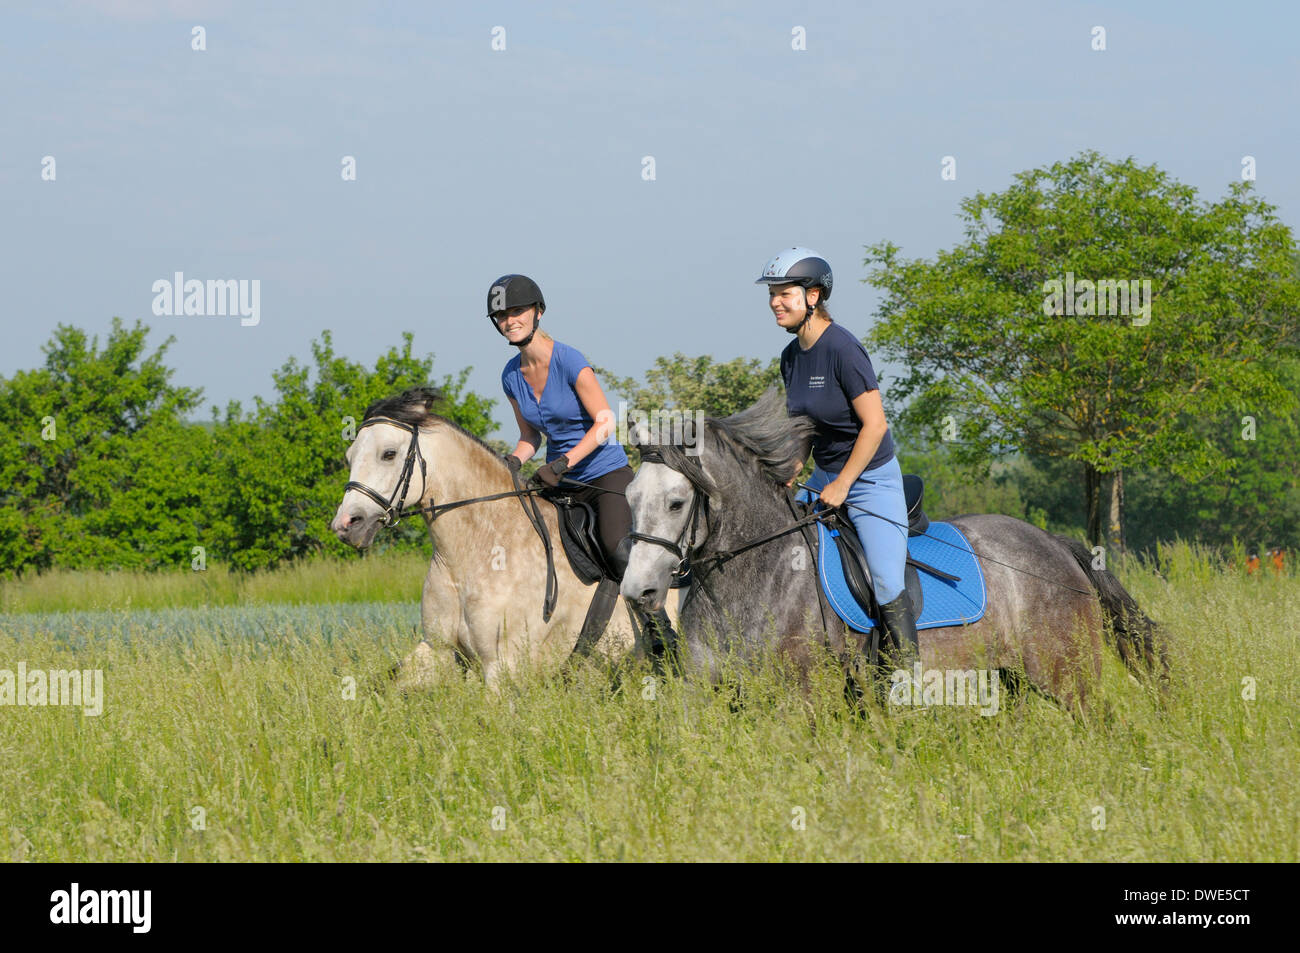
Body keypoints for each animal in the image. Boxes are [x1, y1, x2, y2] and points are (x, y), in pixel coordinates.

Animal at [330, 387, 672, 688]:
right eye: (349, 456)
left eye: (388, 454)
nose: (346, 525)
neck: (469, 554)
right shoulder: (437, 648)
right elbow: (386, 684)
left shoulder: (501, 664)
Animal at [619, 388, 1166, 713]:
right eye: (630, 498)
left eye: (676, 502)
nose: (637, 592)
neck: (753, 574)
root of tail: (1055, 545)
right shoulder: (702, 690)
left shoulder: (802, 696)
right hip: (1010, 676)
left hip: (1067, 676)